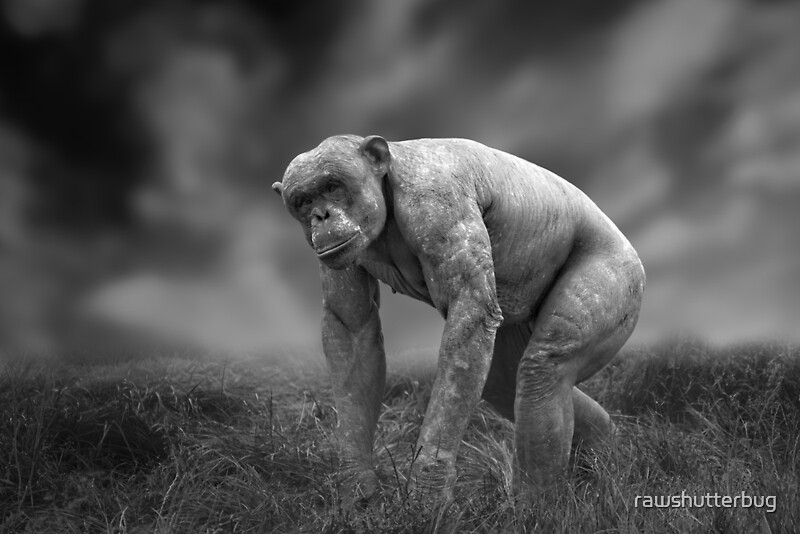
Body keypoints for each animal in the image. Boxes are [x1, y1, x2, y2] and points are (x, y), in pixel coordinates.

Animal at [272, 135, 645, 504]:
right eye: (303, 201)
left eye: (333, 187)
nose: (321, 215)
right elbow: (351, 329)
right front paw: (357, 483)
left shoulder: (436, 204)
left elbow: (470, 306)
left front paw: (428, 489)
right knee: (507, 384)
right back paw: (605, 445)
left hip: (615, 277)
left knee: (545, 369)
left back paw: (536, 507)